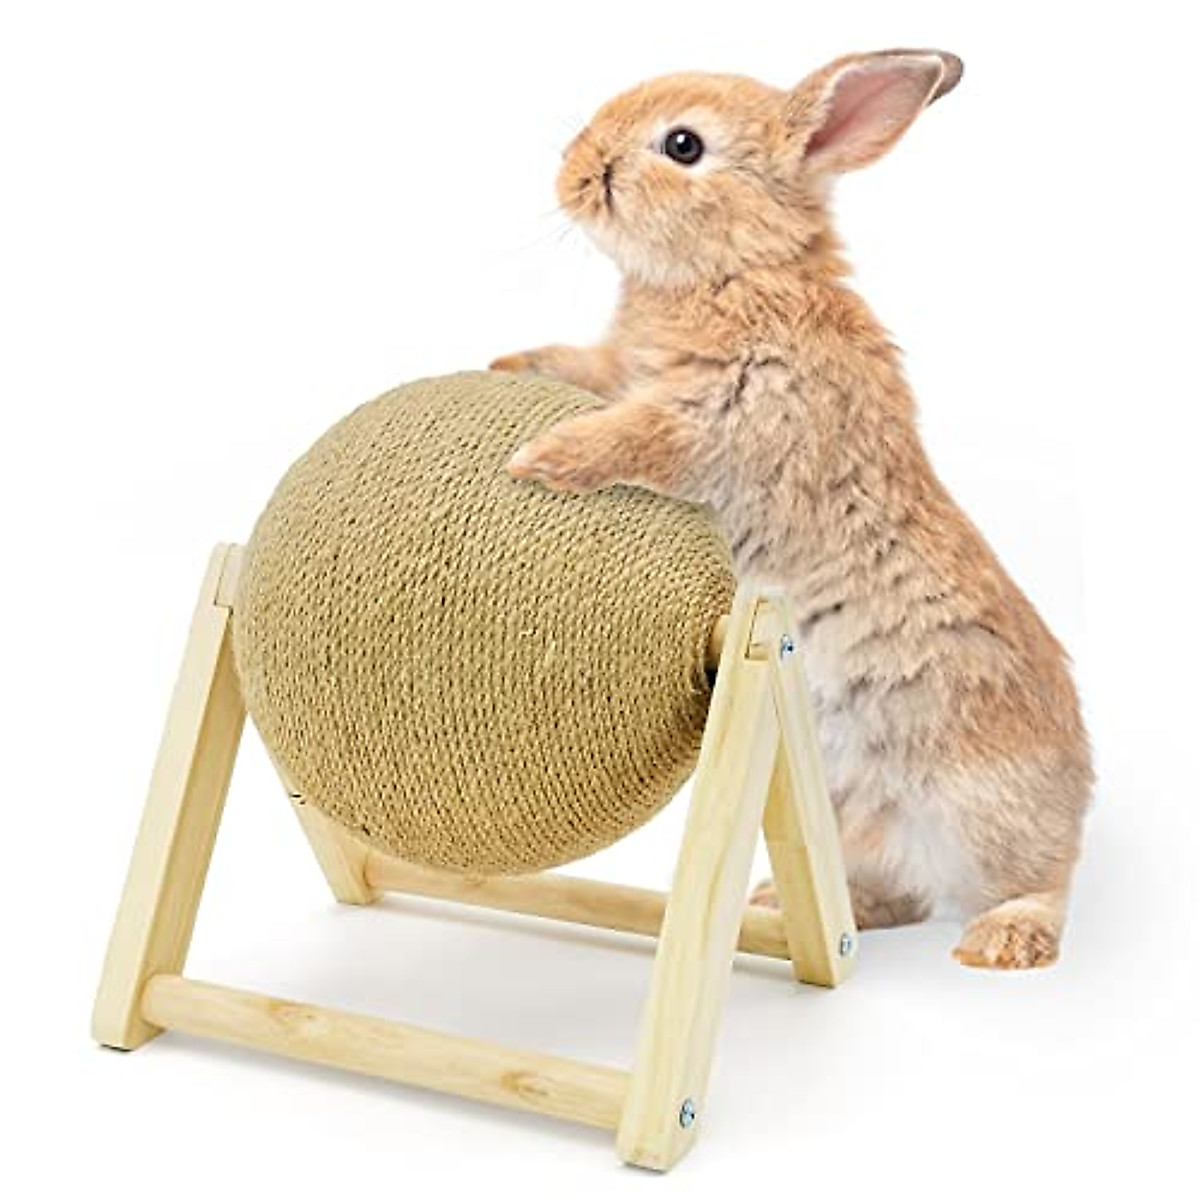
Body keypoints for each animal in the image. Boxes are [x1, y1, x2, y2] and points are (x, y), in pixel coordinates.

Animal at [492, 50, 1093, 969]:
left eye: (682, 145)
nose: (574, 173)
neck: (736, 270)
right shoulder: (623, 370)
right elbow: (580, 368)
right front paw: (506, 367)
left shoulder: (724, 417)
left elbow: (636, 435)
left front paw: (547, 458)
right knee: (889, 895)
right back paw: (782, 902)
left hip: (988, 805)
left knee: (1041, 882)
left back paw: (1000, 941)